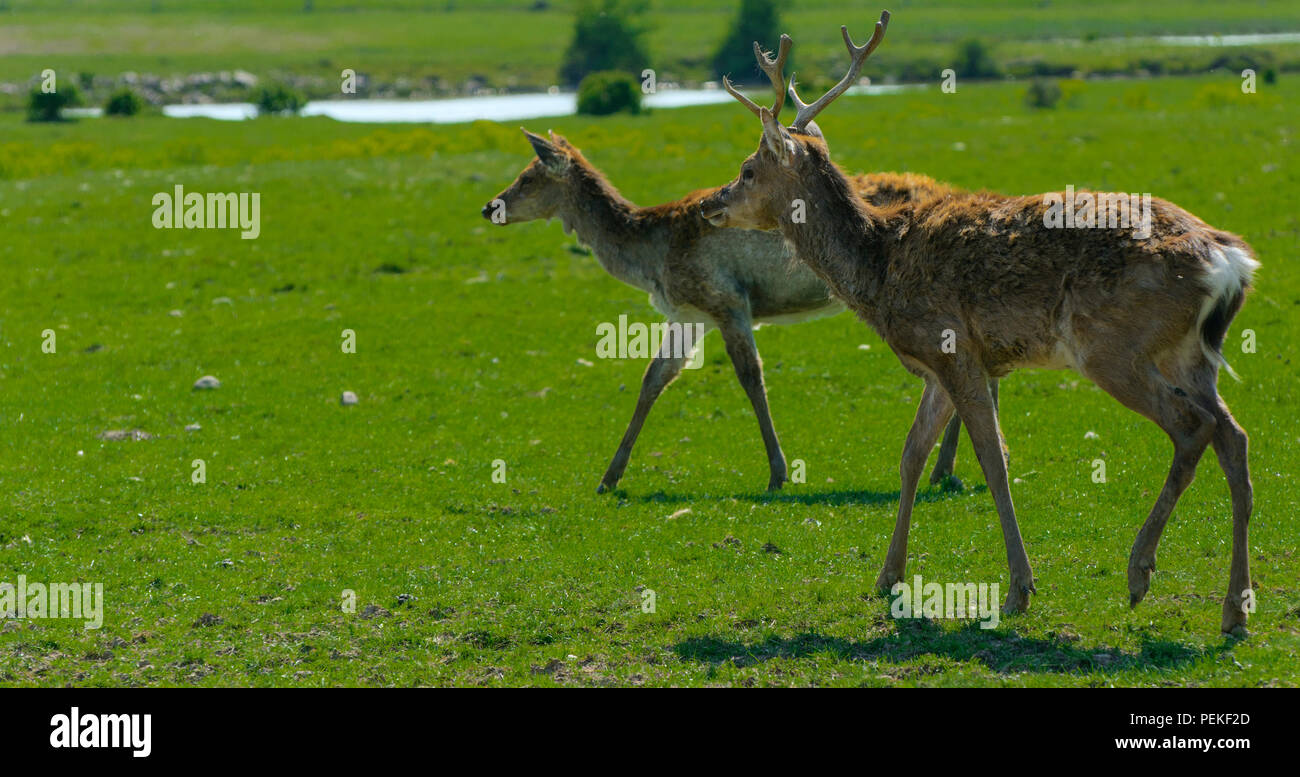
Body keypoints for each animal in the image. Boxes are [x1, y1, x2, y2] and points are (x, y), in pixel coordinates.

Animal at [481, 107, 994, 494]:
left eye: (528, 177)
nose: (489, 207)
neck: (652, 259)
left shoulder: (726, 300)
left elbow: (751, 377)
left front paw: (778, 473)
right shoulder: (688, 314)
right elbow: (653, 378)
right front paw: (609, 476)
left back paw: (944, 468)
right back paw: (945, 468)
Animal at [697, 10, 1258, 635]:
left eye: (748, 169)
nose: (708, 204)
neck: (878, 267)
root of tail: (1230, 260)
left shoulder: (952, 347)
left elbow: (993, 458)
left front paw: (1019, 589)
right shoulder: (941, 365)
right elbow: (911, 456)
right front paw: (887, 577)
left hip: (1114, 346)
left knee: (1193, 428)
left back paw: (1139, 573)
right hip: (1190, 352)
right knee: (1234, 437)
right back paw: (1234, 608)